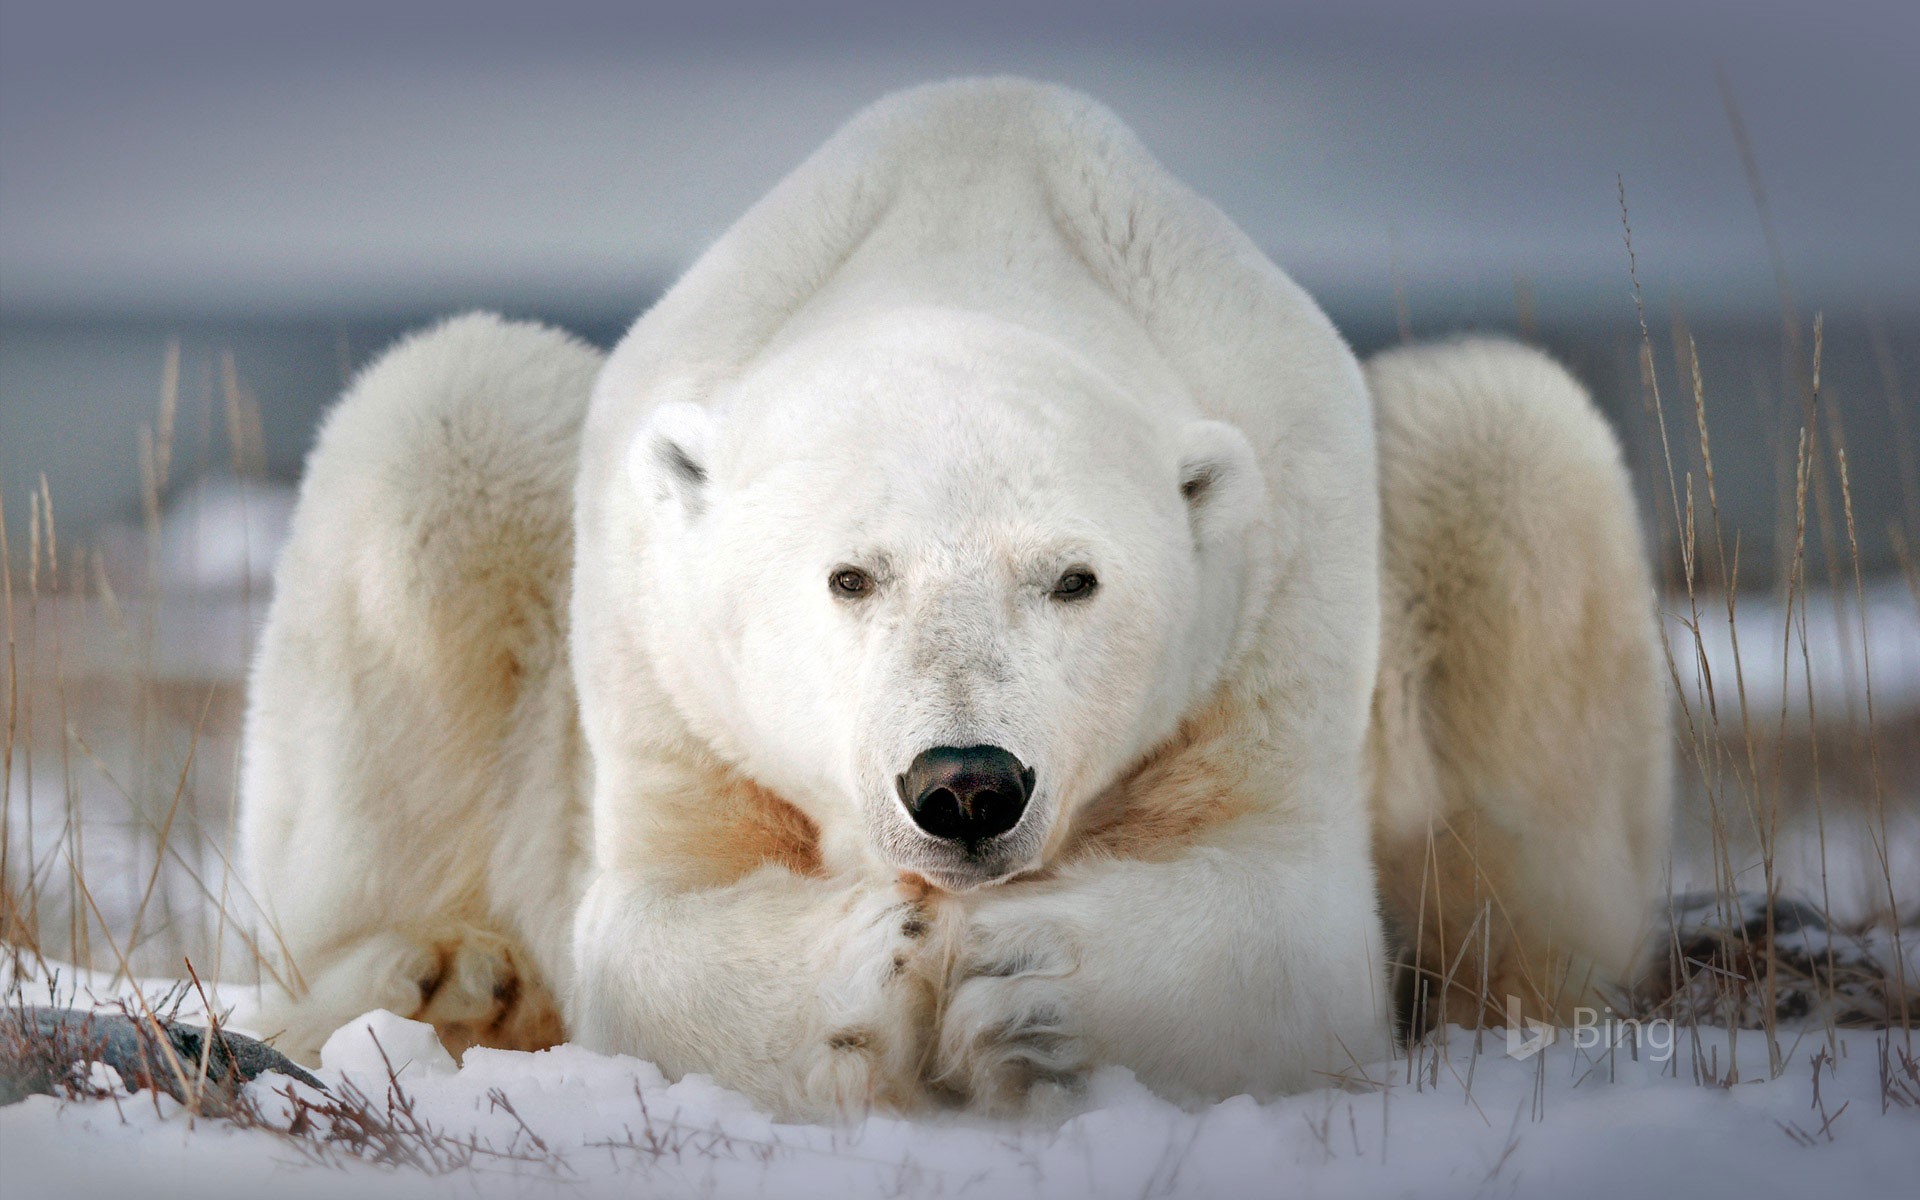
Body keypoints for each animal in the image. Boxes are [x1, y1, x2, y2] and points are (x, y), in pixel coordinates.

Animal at [238, 78, 1669, 1119]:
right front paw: (871, 963)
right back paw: (444, 978)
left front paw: (1022, 981)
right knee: (440, 424)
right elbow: (651, 918)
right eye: (850, 575)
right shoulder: (661, 652)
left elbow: (1288, 924)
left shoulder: (1283, 583)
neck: (969, 233)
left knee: (1510, 450)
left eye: (1075, 578)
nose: (967, 785)